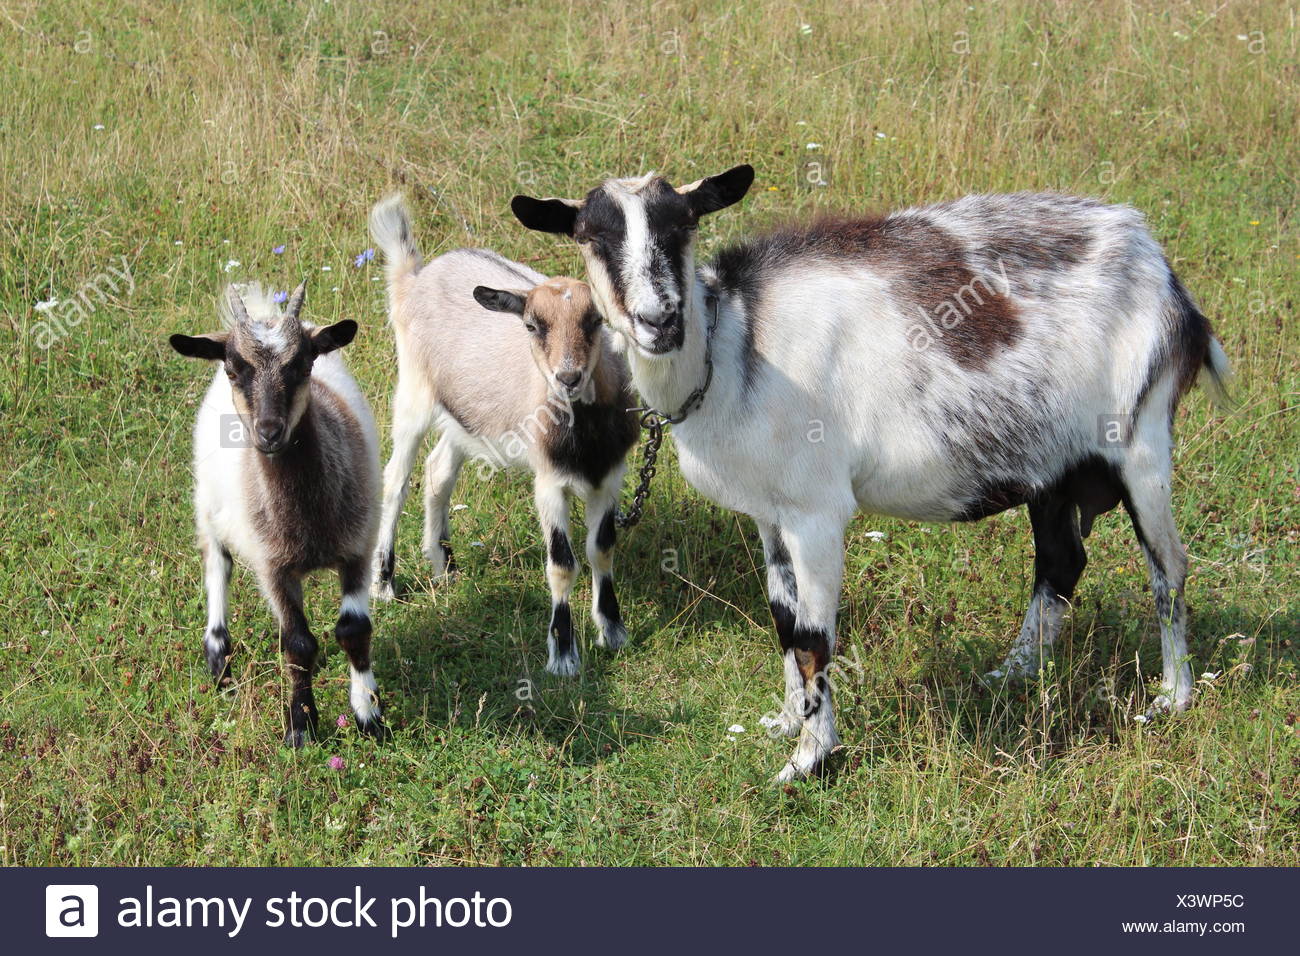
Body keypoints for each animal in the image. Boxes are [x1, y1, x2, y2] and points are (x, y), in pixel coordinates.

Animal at [169, 281, 384, 746]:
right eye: (234, 369)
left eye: (304, 364)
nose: (269, 433)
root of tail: (265, 310)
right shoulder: (273, 567)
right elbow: (298, 643)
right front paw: (300, 726)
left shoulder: (359, 547)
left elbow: (353, 631)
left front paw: (369, 715)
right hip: (208, 506)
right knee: (217, 565)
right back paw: (219, 658)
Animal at [368, 194, 639, 677]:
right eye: (532, 325)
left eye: (595, 321)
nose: (567, 378)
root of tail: (414, 277)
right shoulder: (548, 483)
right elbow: (562, 564)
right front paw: (563, 655)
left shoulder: (610, 476)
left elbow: (602, 549)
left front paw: (613, 631)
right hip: (414, 393)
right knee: (396, 479)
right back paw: (384, 583)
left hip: (465, 416)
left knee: (438, 472)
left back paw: (443, 567)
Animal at [511, 166, 1231, 781]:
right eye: (591, 236)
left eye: (682, 224)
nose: (658, 320)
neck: (736, 348)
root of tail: (1167, 277)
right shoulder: (769, 513)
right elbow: (783, 620)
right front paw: (787, 722)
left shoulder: (817, 513)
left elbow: (813, 637)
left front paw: (811, 758)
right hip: (1050, 463)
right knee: (1060, 561)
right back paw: (1015, 674)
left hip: (1140, 438)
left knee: (1168, 567)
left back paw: (1173, 696)